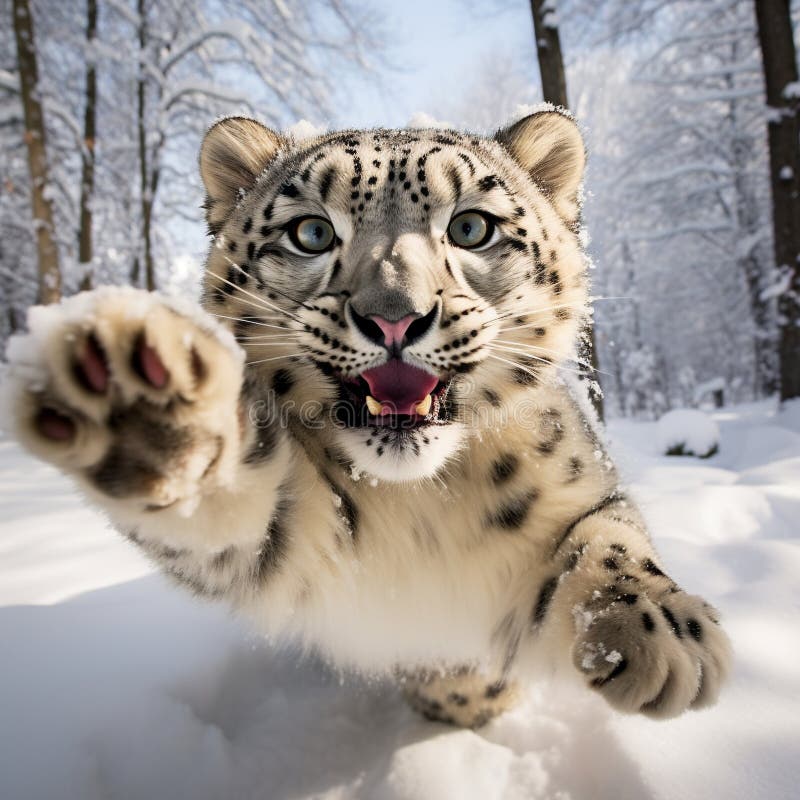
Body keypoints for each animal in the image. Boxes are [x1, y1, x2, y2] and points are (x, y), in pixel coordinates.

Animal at [2, 109, 732, 728]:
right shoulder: (298, 534)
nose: (395, 316)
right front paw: (149, 406)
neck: (425, 501)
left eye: (471, 227)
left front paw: (658, 636)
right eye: (311, 232)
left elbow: (605, 534)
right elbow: (236, 511)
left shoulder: (578, 483)